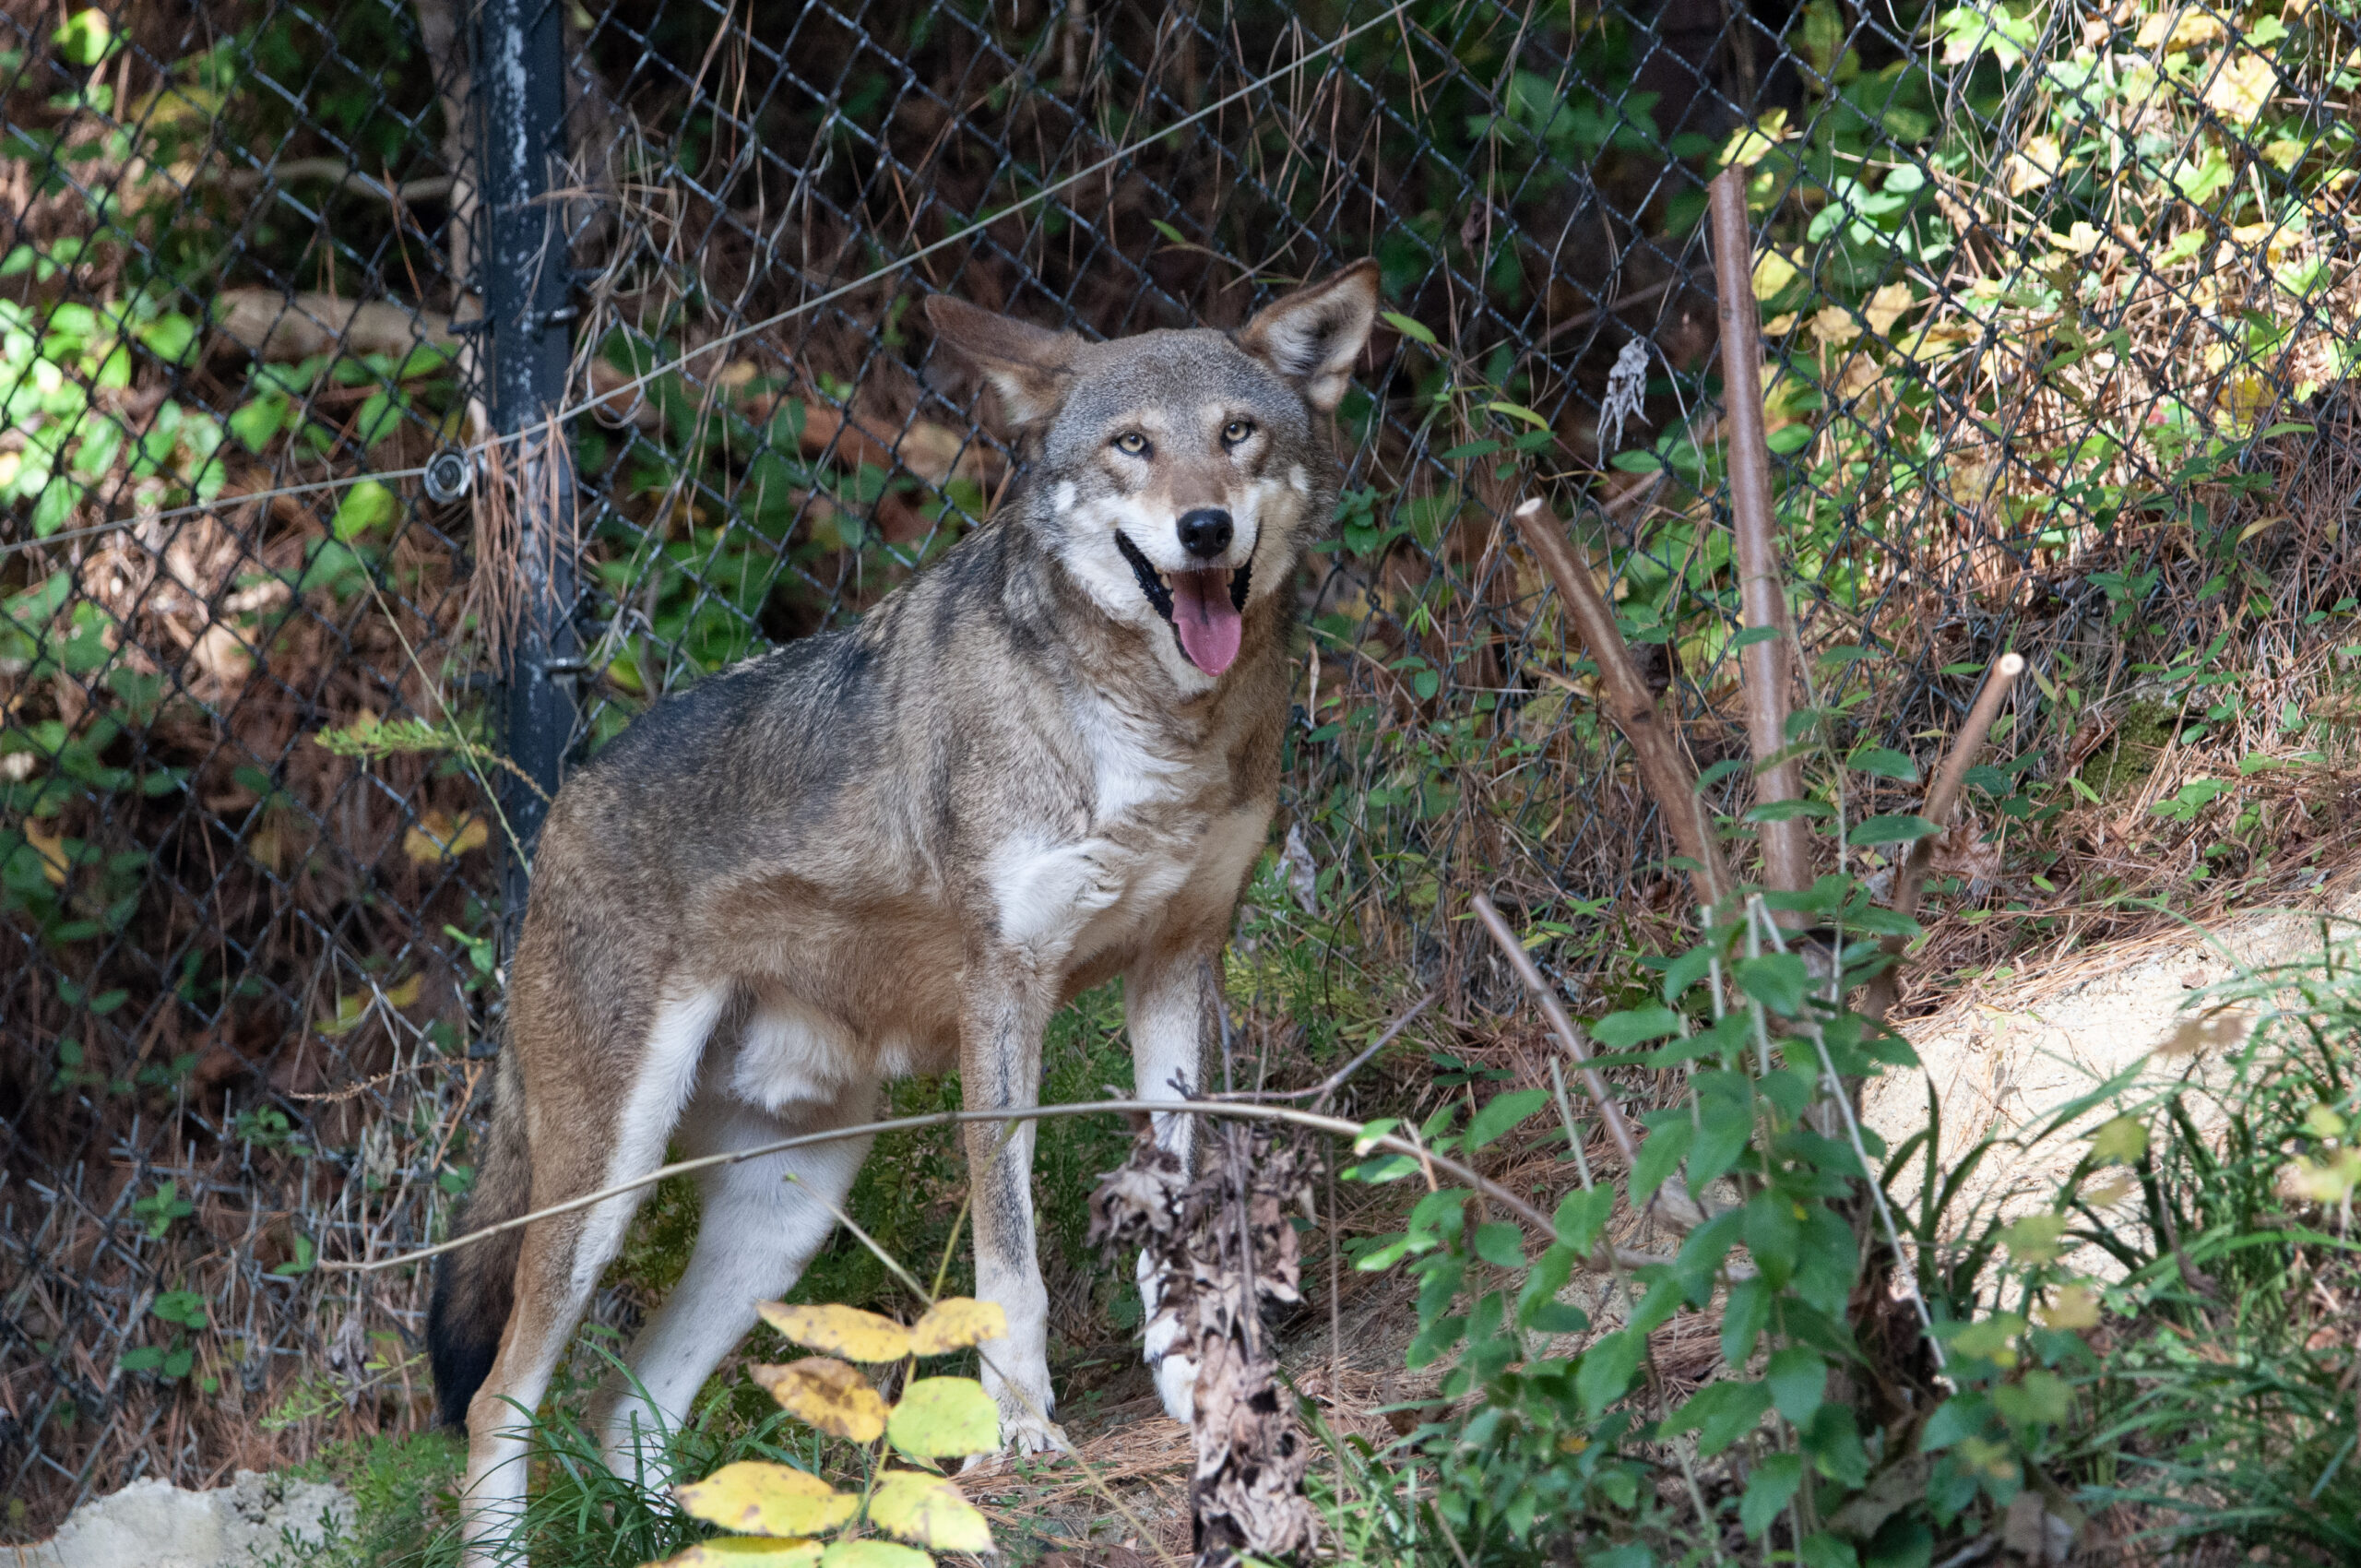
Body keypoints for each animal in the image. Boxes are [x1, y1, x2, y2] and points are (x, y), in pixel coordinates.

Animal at [425, 261, 1381, 1560]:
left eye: (1237, 434)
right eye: (1132, 444)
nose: (1203, 529)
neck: (1151, 732)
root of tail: (557, 812)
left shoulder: (1180, 966)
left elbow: (1182, 1218)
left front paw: (1202, 1383)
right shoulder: (1004, 998)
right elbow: (1008, 1257)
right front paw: (1019, 1434)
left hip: (789, 1206)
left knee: (630, 1405)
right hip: (603, 1194)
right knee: (497, 1400)